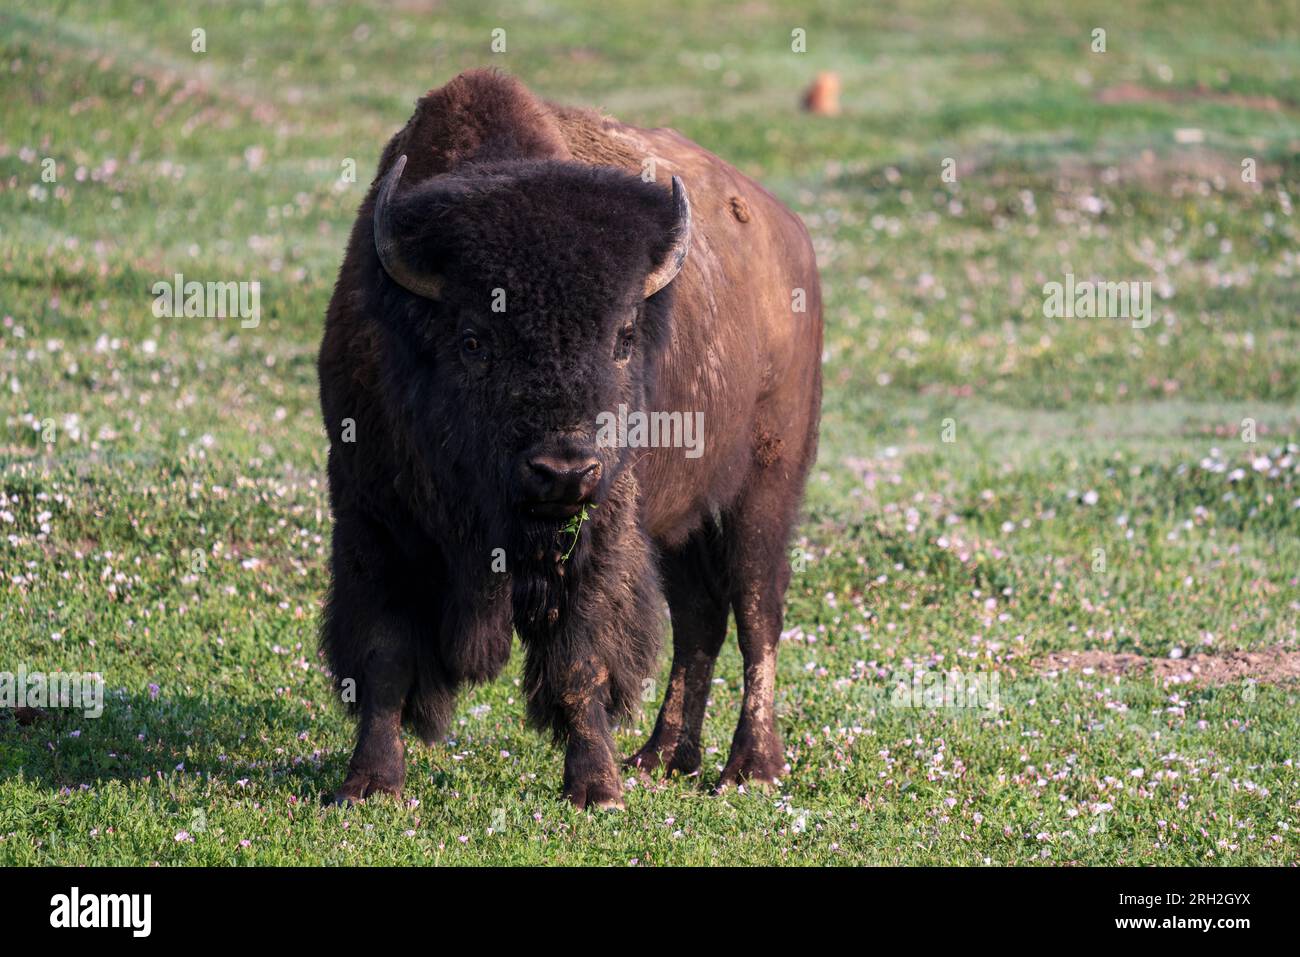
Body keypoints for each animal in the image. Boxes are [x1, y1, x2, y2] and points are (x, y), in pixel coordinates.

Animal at [318, 69, 822, 808]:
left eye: (624, 337)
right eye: (473, 340)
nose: (562, 470)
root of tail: (790, 235)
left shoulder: (599, 534)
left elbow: (582, 659)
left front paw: (595, 787)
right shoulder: (372, 520)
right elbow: (383, 655)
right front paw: (369, 784)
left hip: (764, 491)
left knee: (757, 612)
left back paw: (749, 768)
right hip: (678, 524)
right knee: (699, 621)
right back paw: (663, 757)